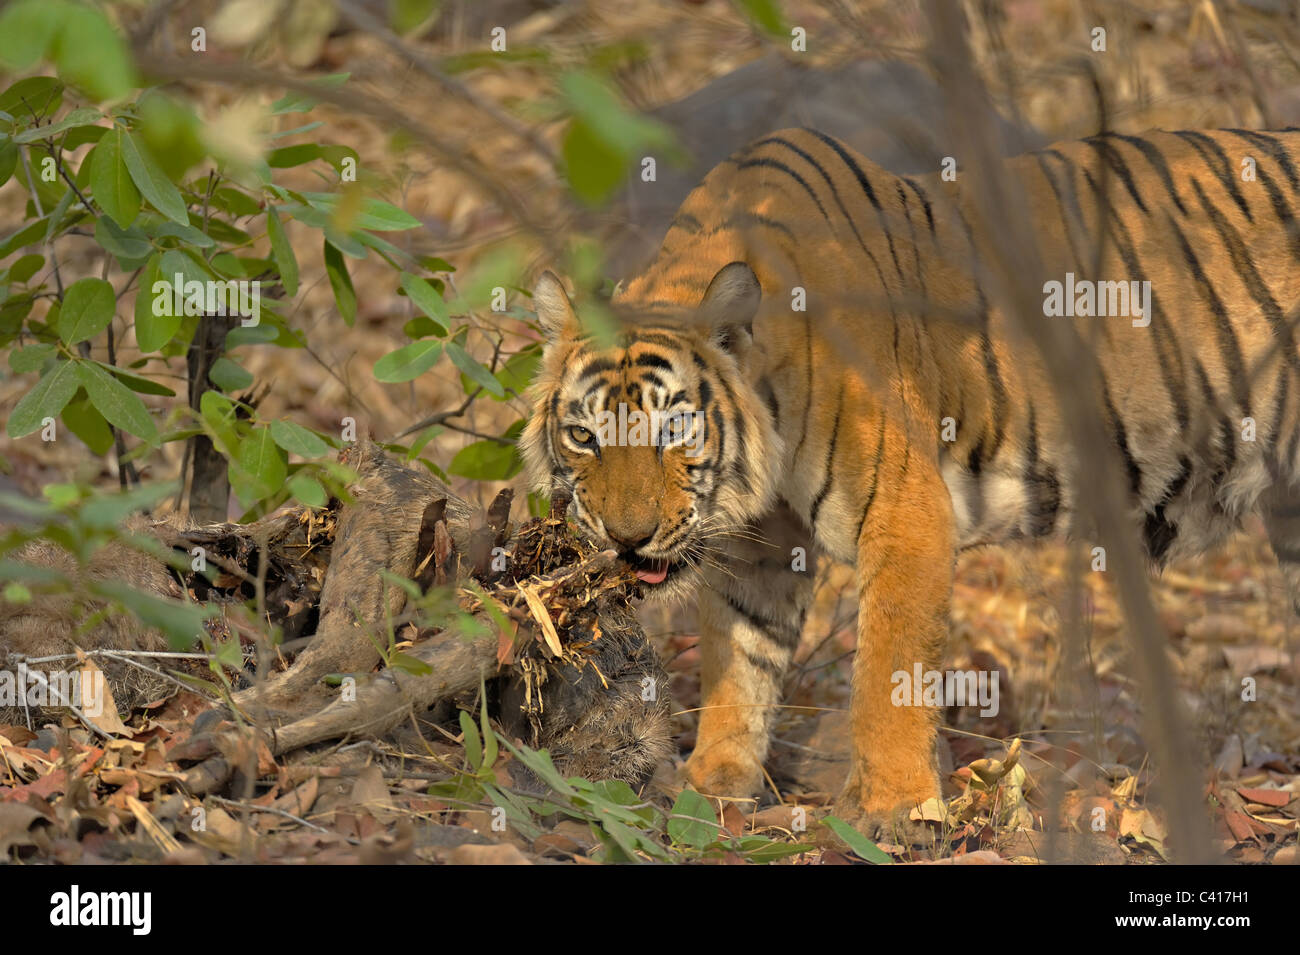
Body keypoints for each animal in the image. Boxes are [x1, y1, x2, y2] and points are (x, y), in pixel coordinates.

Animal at [521, 125, 1300, 838]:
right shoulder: (756, 547)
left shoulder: (906, 510)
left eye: (674, 431)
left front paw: (892, 808)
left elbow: (889, 671)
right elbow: (739, 662)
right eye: (585, 435)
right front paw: (712, 786)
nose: (627, 539)